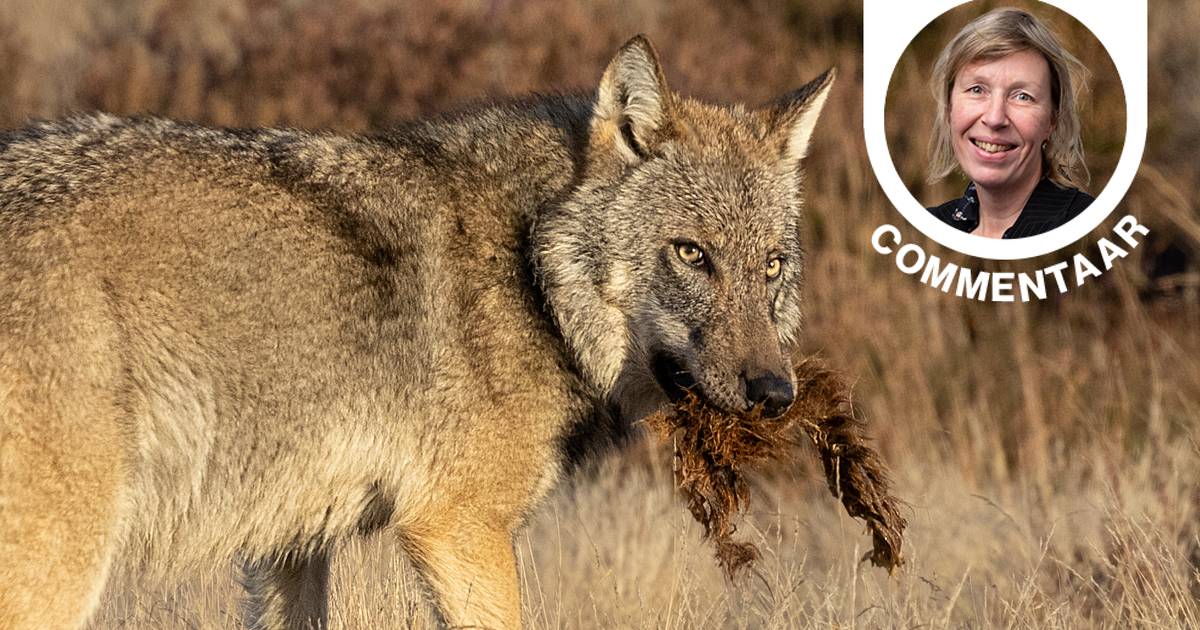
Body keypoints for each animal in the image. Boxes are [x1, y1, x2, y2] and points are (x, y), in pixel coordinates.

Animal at [0, 35, 833, 629]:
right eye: (691, 254)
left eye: (770, 266)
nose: (775, 393)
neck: (531, 271)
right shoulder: (459, 527)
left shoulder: (290, 546)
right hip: (62, 558)